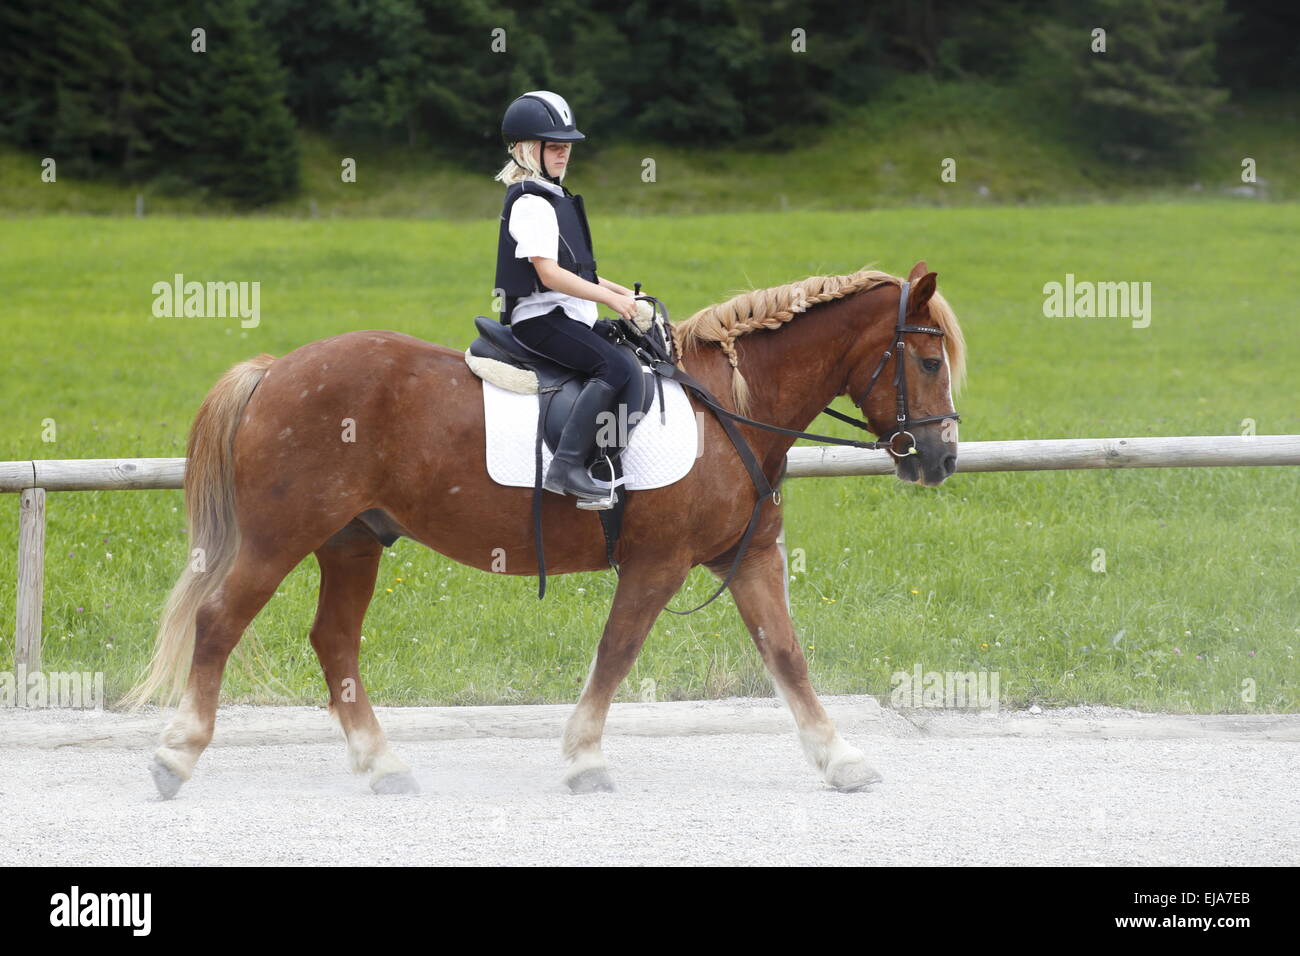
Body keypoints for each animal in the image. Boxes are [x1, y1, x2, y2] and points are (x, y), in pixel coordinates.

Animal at [124, 260, 966, 797]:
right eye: (928, 361)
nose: (941, 458)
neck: (728, 406)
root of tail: (275, 369)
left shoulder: (750, 556)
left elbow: (787, 657)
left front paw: (841, 759)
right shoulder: (657, 564)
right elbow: (617, 653)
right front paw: (584, 759)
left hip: (352, 540)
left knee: (334, 642)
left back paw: (383, 766)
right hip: (279, 538)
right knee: (218, 621)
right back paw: (176, 756)